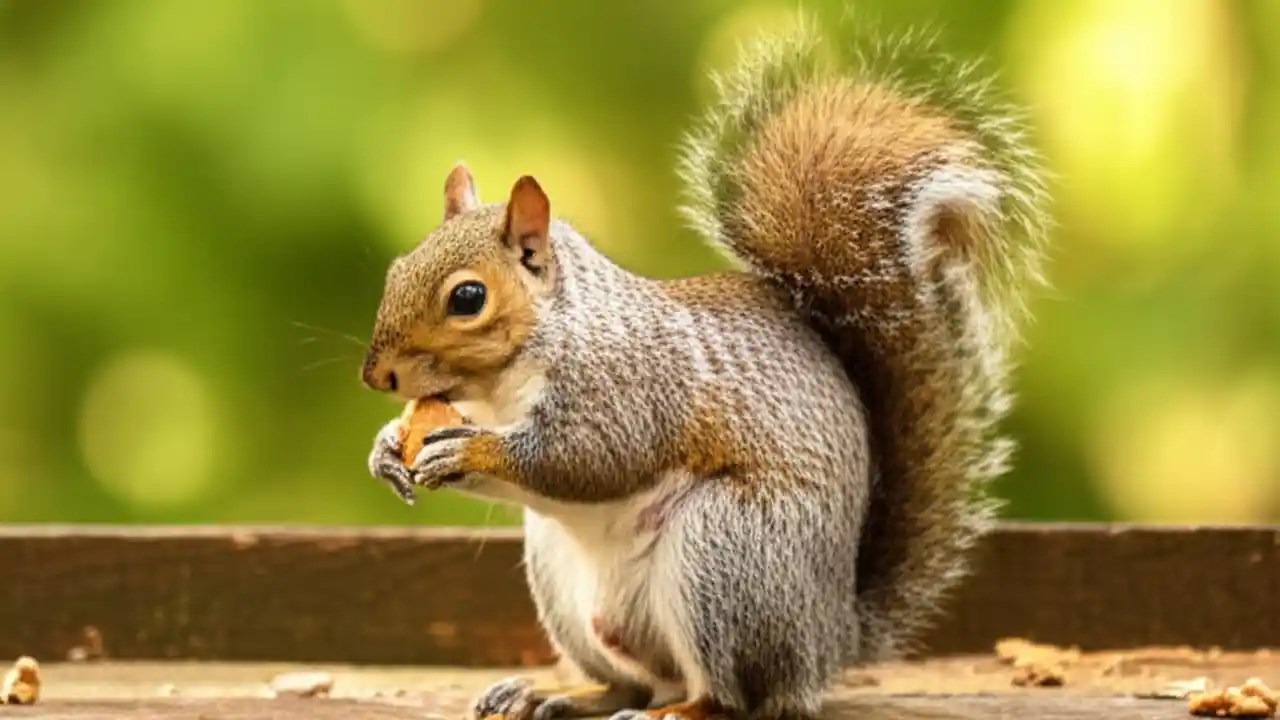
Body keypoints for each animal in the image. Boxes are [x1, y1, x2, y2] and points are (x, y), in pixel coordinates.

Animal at [361, 15, 1046, 720]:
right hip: (565, 579)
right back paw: (558, 692)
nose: (376, 376)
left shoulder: (630, 383)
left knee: (732, 697)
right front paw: (387, 449)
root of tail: (832, 640)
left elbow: (590, 459)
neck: (505, 385)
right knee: (626, 679)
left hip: (727, 554)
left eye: (468, 297)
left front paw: (471, 452)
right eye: (397, 269)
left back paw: (675, 710)